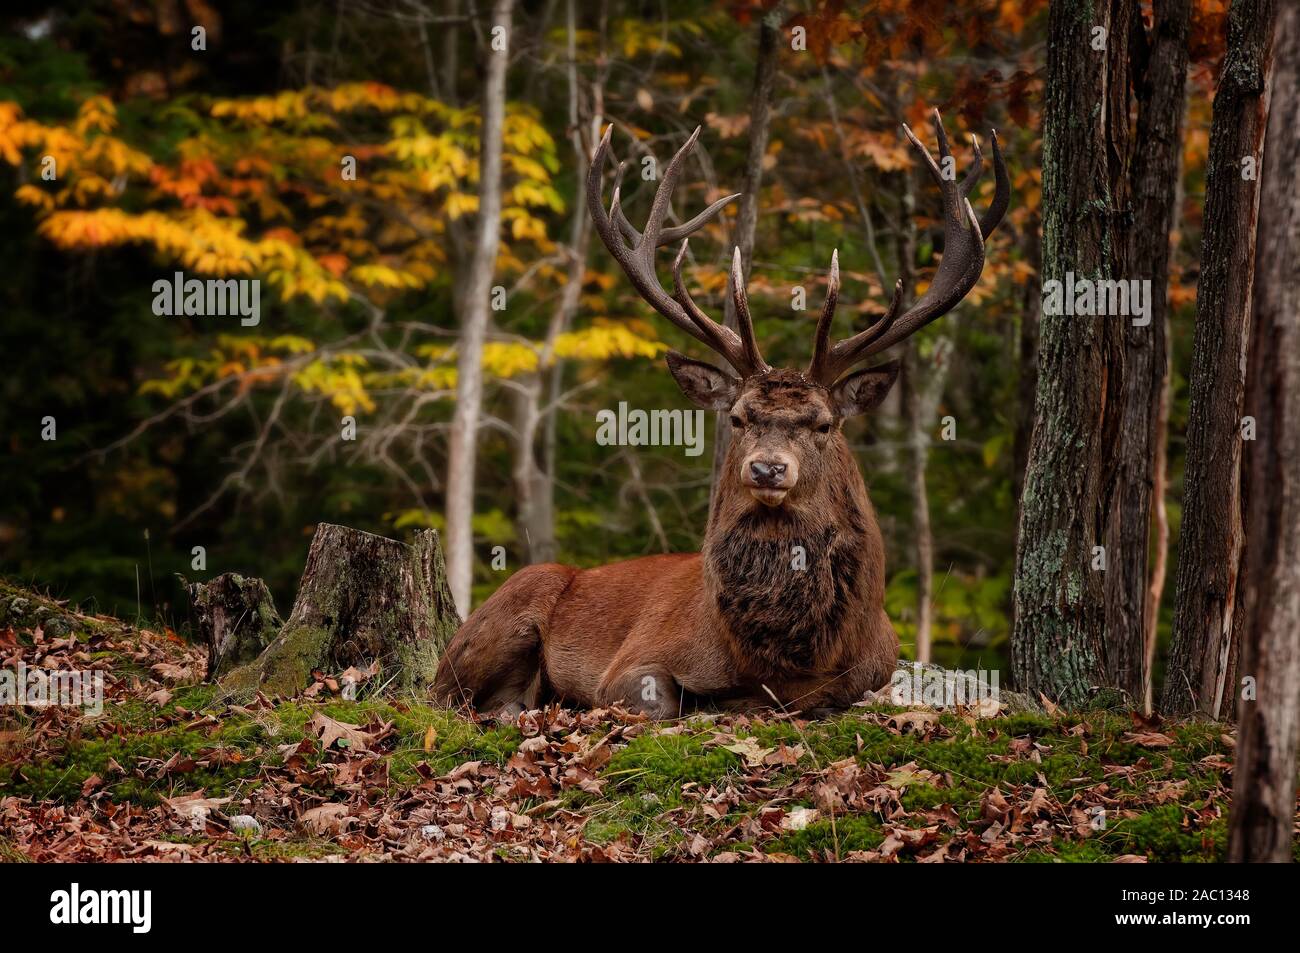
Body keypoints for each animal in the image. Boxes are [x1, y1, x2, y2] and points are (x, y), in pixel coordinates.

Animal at [434, 111, 1008, 719]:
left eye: (823, 424)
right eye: (737, 417)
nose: (767, 468)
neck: (783, 662)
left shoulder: (873, 671)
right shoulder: (632, 662)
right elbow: (664, 698)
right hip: (503, 615)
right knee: (450, 695)